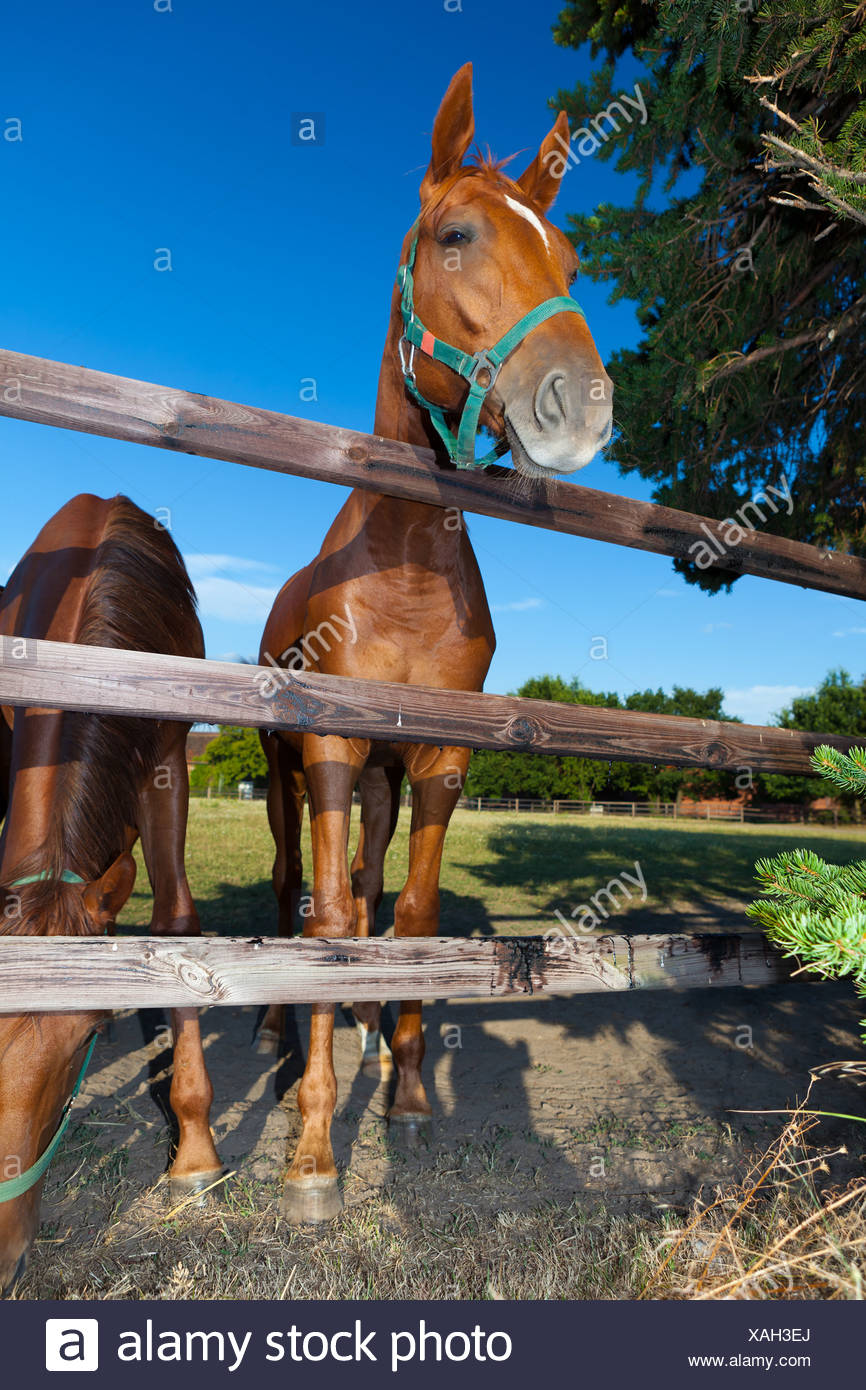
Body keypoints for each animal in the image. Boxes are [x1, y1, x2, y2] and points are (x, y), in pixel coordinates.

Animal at [258, 62, 613, 1222]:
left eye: (570, 261)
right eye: (455, 234)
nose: (581, 404)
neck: (406, 569)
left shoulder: (441, 761)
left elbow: (406, 915)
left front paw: (407, 1090)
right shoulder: (328, 749)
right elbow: (328, 924)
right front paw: (312, 1150)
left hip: (380, 778)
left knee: (368, 886)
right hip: (291, 775)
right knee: (292, 886)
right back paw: (275, 1032)